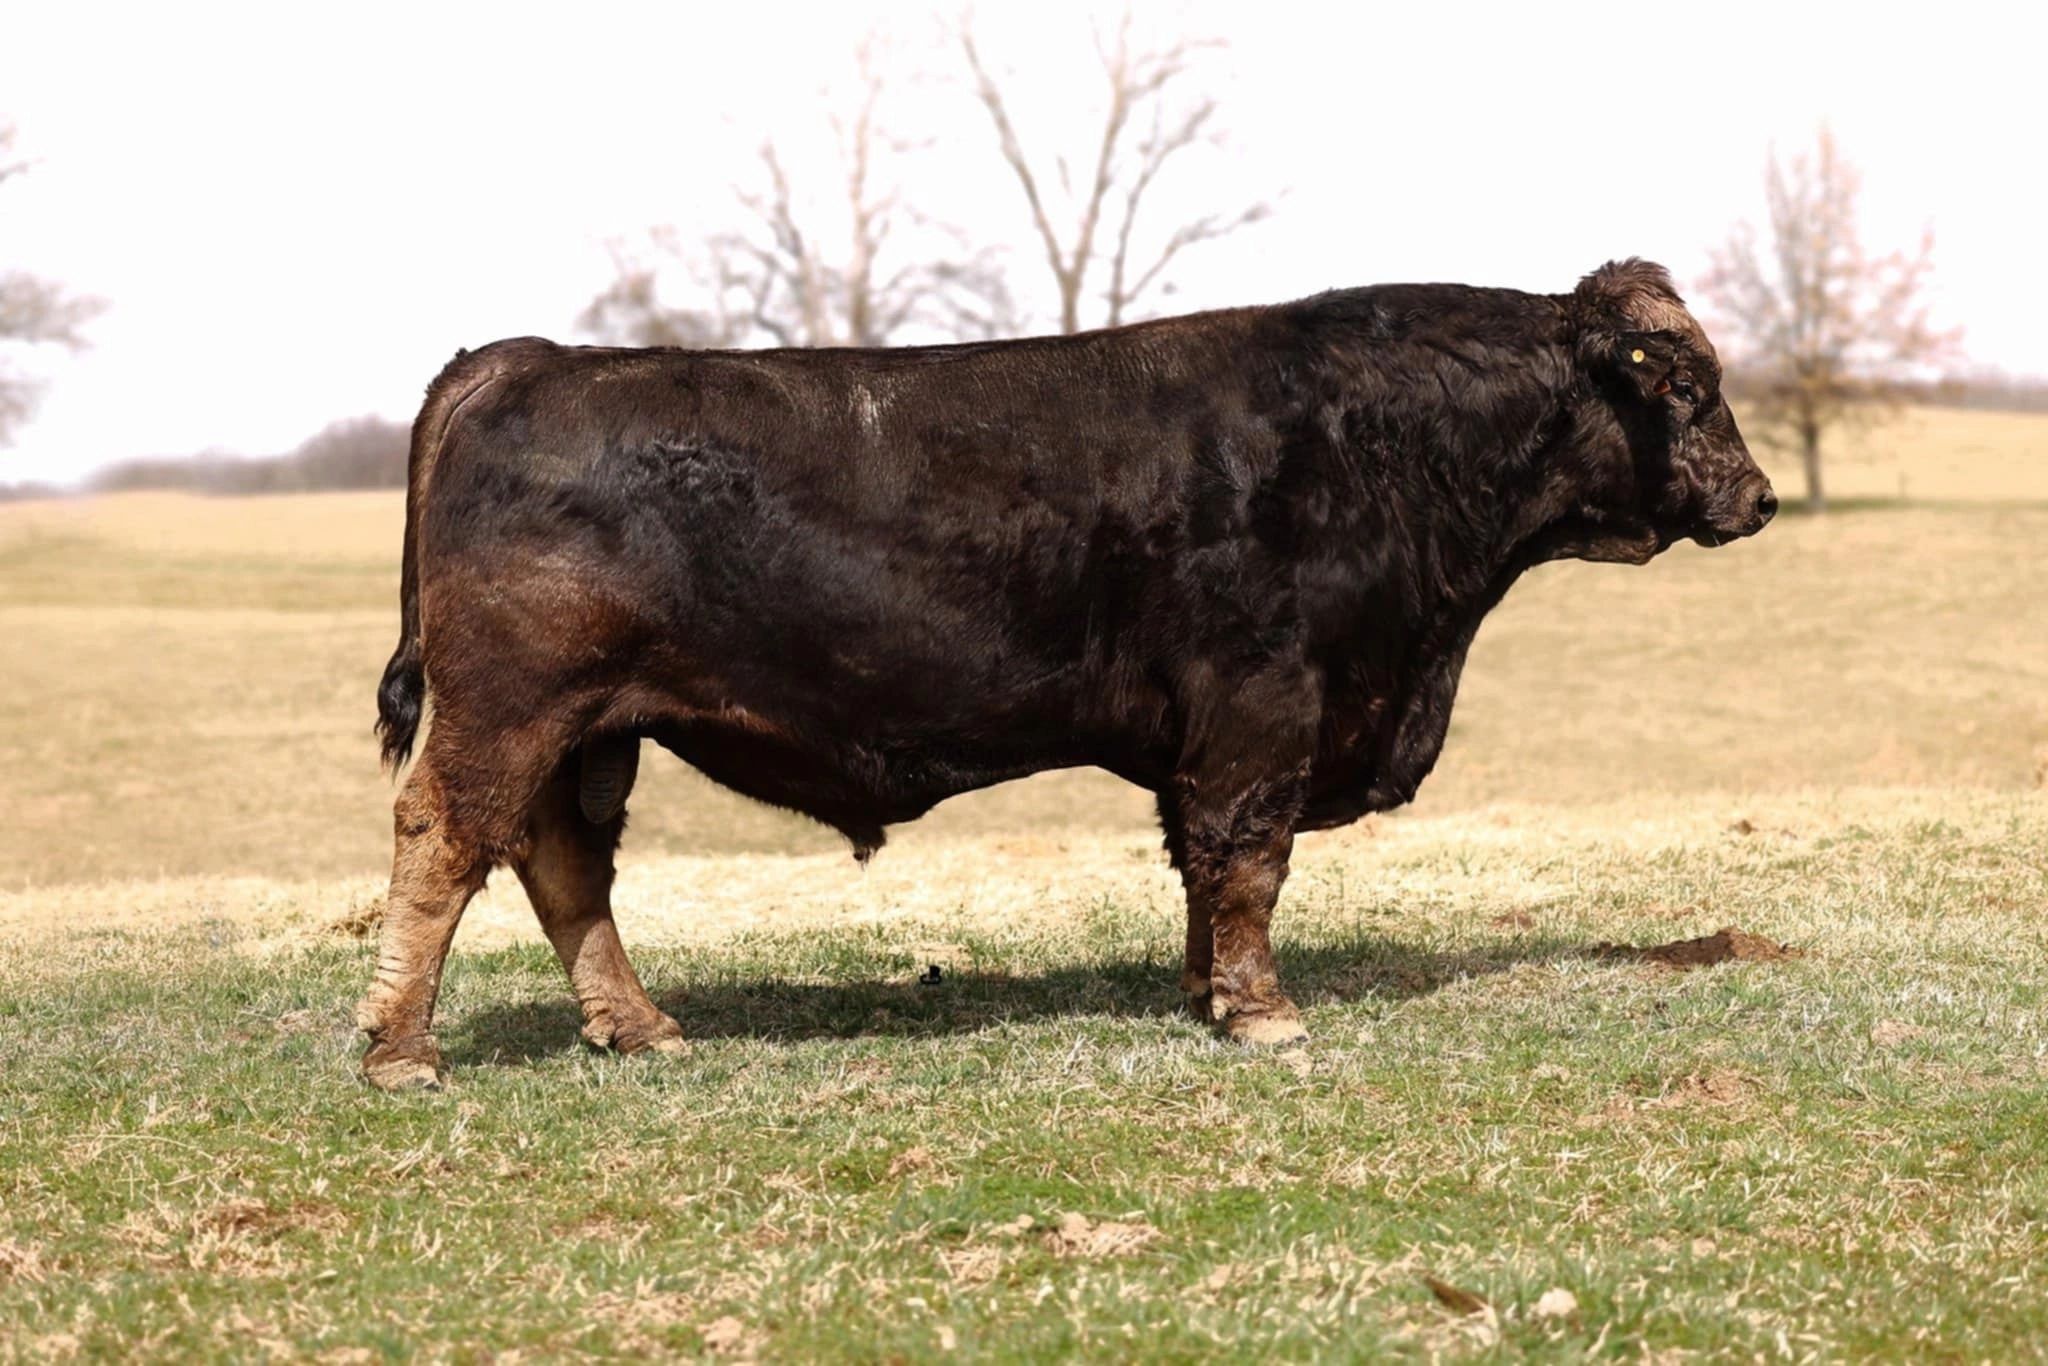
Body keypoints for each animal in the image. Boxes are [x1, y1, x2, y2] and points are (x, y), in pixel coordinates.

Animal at [354, 259, 1774, 1090]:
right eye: (1685, 385)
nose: (1757, 497)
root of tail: (523, 358)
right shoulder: (1265, 707)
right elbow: (1248, 859)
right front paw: (1265, 1013)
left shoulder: (1205, 738)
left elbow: (1200, 864)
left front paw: (1206, 995)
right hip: (509, 710)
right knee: (444, 842)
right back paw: (398, 1051)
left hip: (590, 733)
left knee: (561, 866)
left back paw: (638, 1027)